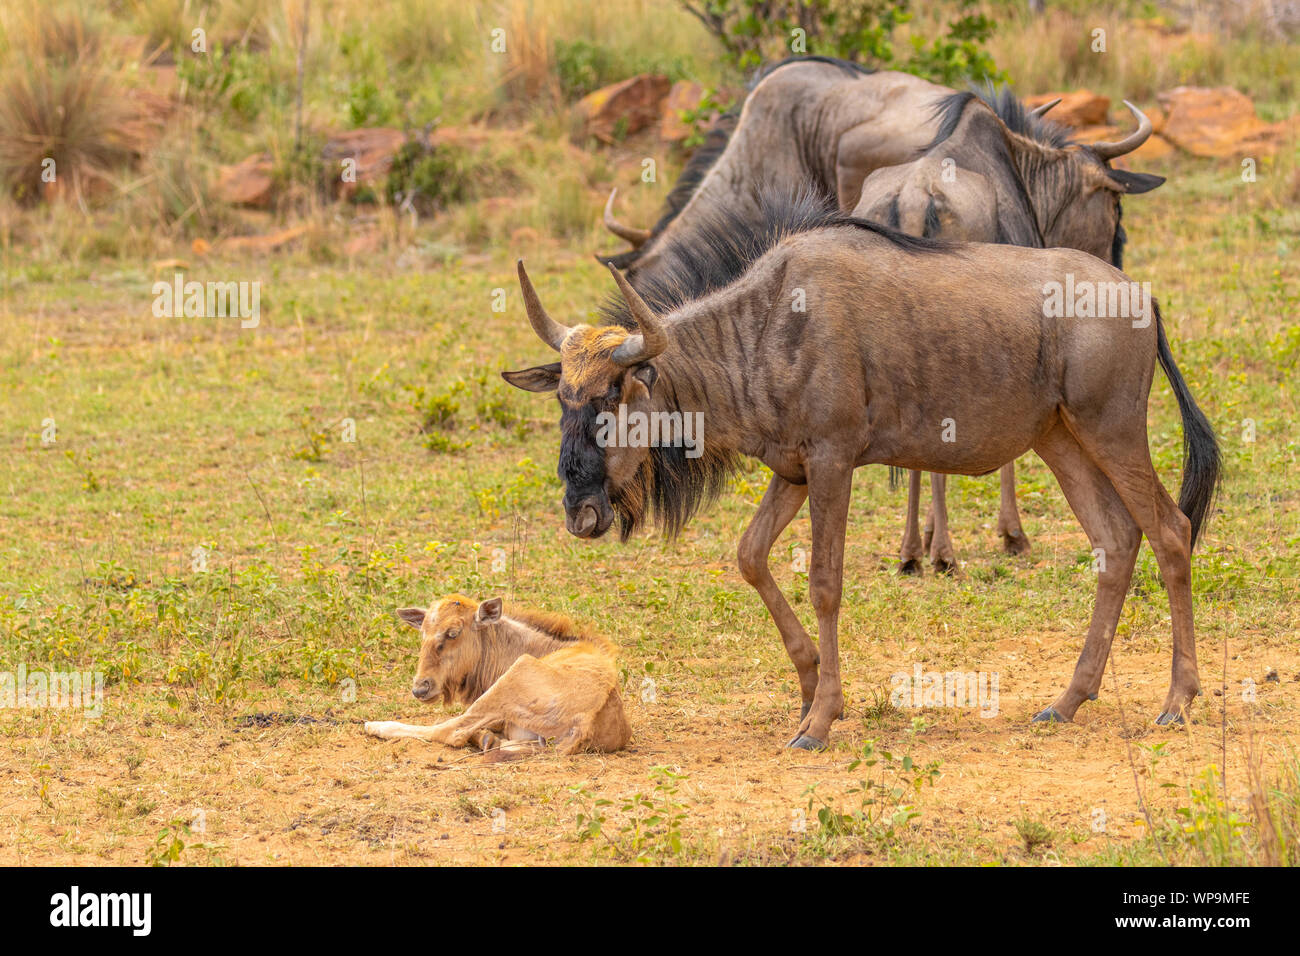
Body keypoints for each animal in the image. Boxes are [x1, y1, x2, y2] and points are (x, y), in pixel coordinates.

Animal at [364, 594, 630, 760]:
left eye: (453, 633)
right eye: (423, 633)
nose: (421, 688)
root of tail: (586, 722)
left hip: (510, 678)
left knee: (452, 731)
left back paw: (376, 725)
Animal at [505, 188, 1219, 750]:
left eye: (611, 396)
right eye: (564, 398)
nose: (581, 514)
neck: (766, 328)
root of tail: (1140, 297)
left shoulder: (832, 460)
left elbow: (825, 581)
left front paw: (820, 721)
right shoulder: (793, 470)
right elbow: (750, 556)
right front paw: (809, 685)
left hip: (1113, 431)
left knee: (1171, 531)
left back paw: (1177, 702)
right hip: (1060, 440)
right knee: (1115, 542)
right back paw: (1069, 700)